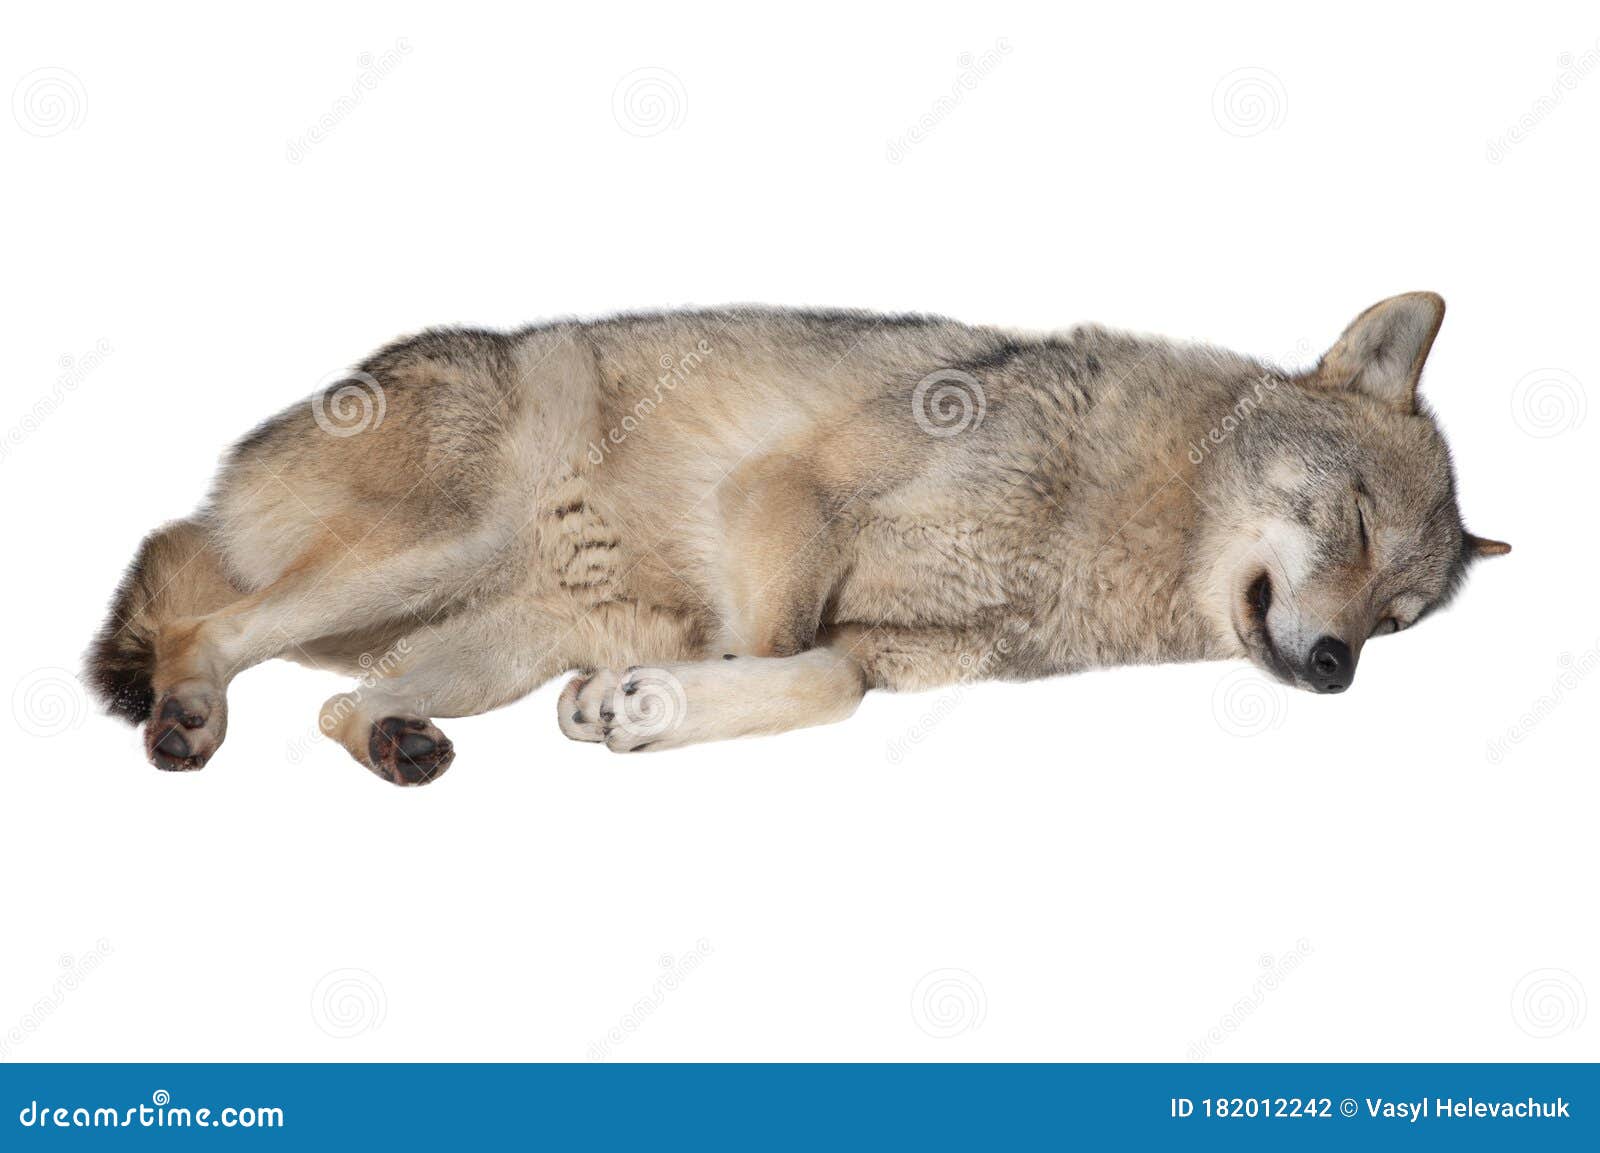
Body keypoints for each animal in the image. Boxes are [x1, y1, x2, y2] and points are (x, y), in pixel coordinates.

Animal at [85, 293, 1508, 785]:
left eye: (1397, 619)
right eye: (1357, 521)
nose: (1335, 668)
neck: (1098, 521)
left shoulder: (881, 655)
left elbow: (820, 682)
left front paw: (644, 705)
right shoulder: (789, 490)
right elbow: (785, 658)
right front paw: (657, 705)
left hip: (487, 647)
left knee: (340, 707)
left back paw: (391, 742)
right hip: (426, 551)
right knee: (207, 621)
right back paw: (186, 717)